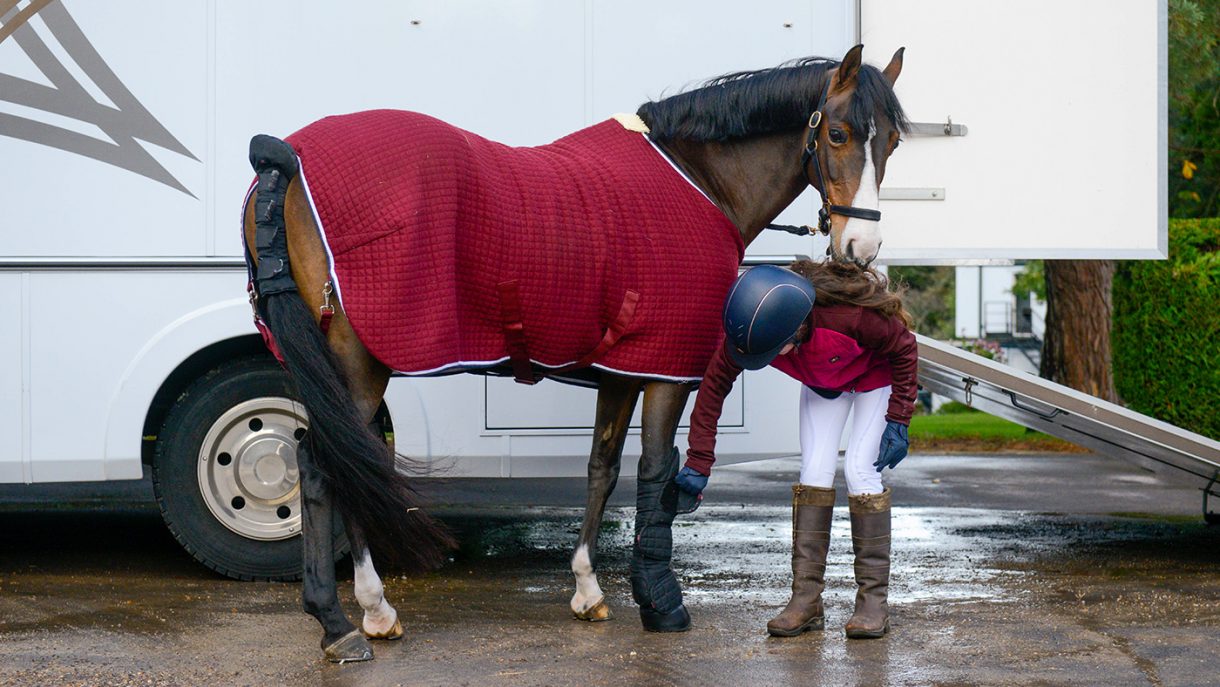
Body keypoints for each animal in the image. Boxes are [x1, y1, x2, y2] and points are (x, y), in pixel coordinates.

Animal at [242, 44, 907, 662]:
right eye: (839, 133)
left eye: (895, 140)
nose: (861, 247)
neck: (700, 181)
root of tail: (284, 157)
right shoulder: (665, 371)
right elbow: (655, 471)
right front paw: (661, 602)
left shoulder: (622, 370)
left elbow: (601, 469)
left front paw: (589, 590)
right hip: (356, 365)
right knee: (323, 467)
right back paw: (354, 618)